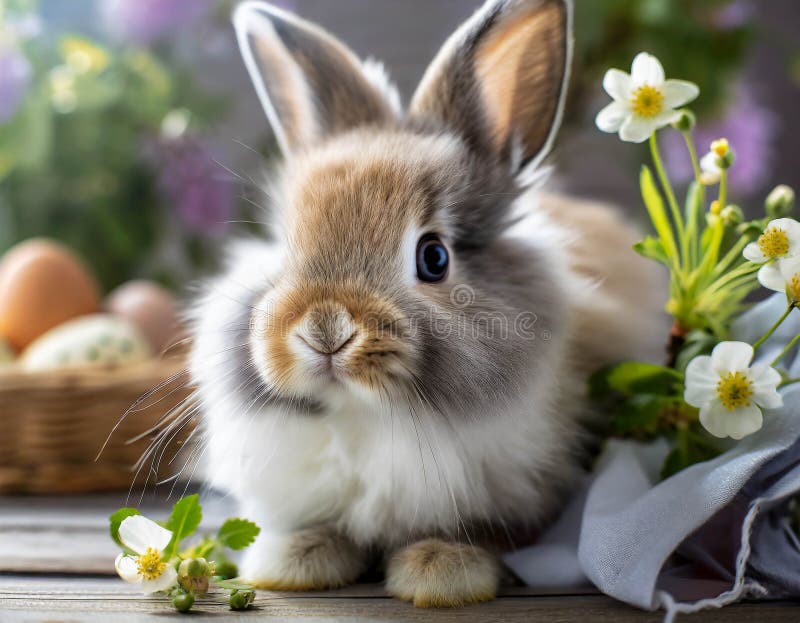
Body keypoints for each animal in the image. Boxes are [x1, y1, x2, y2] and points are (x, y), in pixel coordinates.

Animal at [188, 0, 667, 607]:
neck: (367, 416)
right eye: (285, 245)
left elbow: (472, 534)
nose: (325, 328)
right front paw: (294, 562)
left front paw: (440, 574)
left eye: (434, 257)